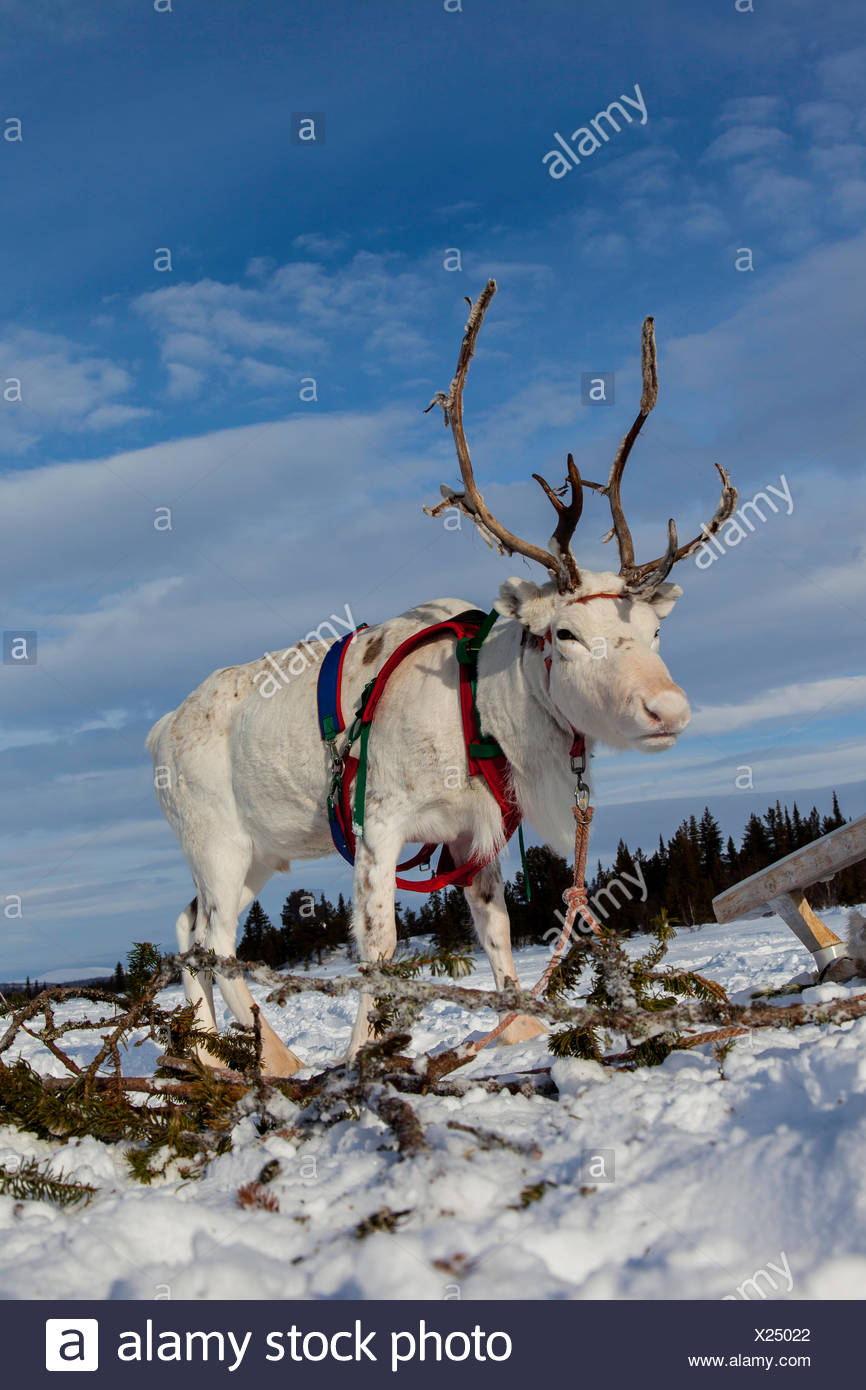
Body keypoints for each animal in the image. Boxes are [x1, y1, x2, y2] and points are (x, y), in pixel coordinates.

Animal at [147, 281, 737, 1076]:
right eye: (564, 634)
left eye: (653, 632)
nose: (666, 709)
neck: (486, 710)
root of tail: (161, 731)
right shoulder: (380, 825)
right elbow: (379, 949)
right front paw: (362, 1053)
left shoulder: (470, 833)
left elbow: (496, 931)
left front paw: (518, 1027)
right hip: (217, 841)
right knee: (215, 941)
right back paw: (276, 1059)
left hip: (258, 853)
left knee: (190, 929)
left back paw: (210, 1053)